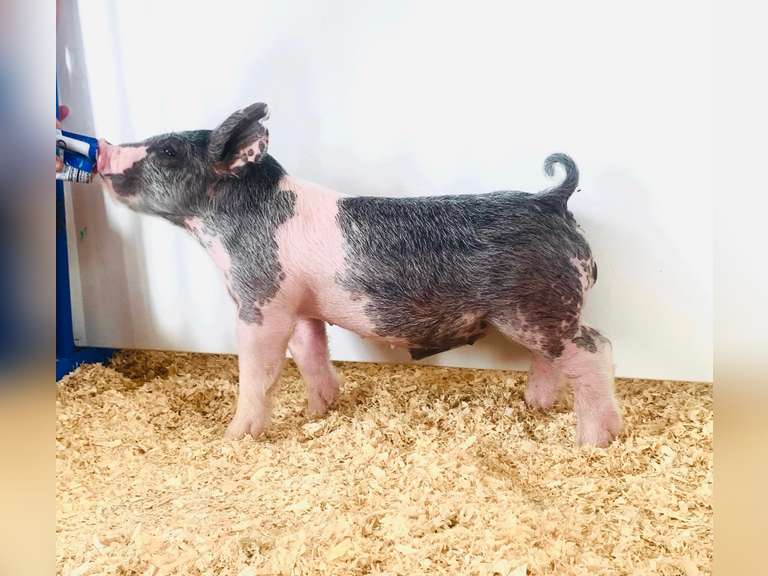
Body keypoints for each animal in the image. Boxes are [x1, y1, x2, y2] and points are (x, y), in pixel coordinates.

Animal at [98, 102, 622, 447]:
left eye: (167, 151)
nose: (102, 149)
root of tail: (552, 200)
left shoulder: (261, 299)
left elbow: (256, 369)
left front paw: (234, 438)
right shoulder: (300, 305)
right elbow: (311, 353)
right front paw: (319, 411)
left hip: (537, 307)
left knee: (596, 349)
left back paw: (594, 441)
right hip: (543, 312)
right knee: (555, 358)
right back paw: (537, 405)